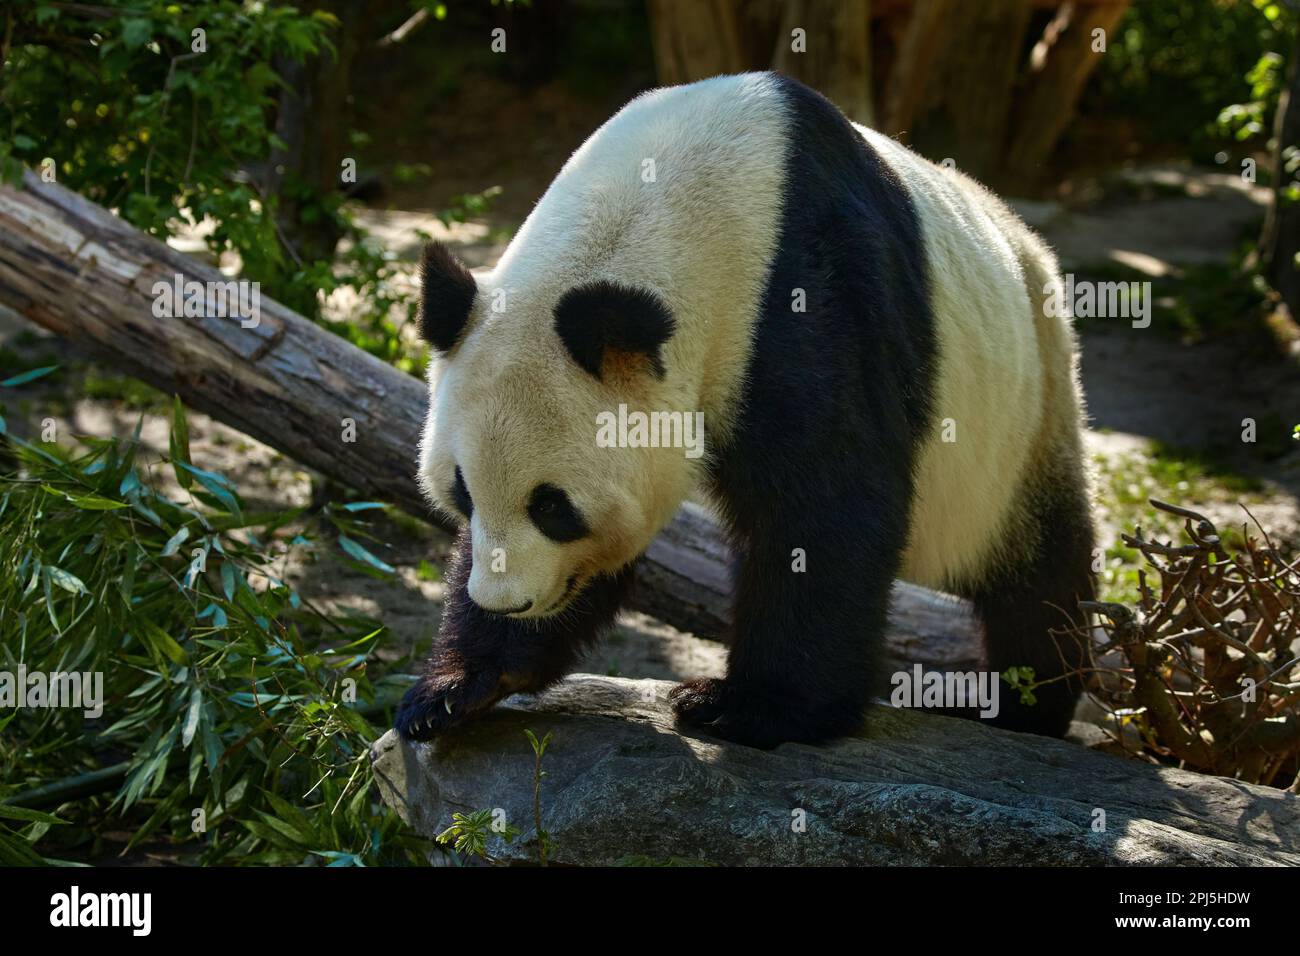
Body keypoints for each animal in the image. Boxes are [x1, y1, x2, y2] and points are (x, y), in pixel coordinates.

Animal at [395, 72, 1096, 749]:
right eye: (462, 494)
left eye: (552, 507)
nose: (505, 603)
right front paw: (455, 688)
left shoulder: (811, 299)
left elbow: (827, 504)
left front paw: (753, 709)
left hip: (1028, 410)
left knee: (1040, 568)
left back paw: (1023, 705)